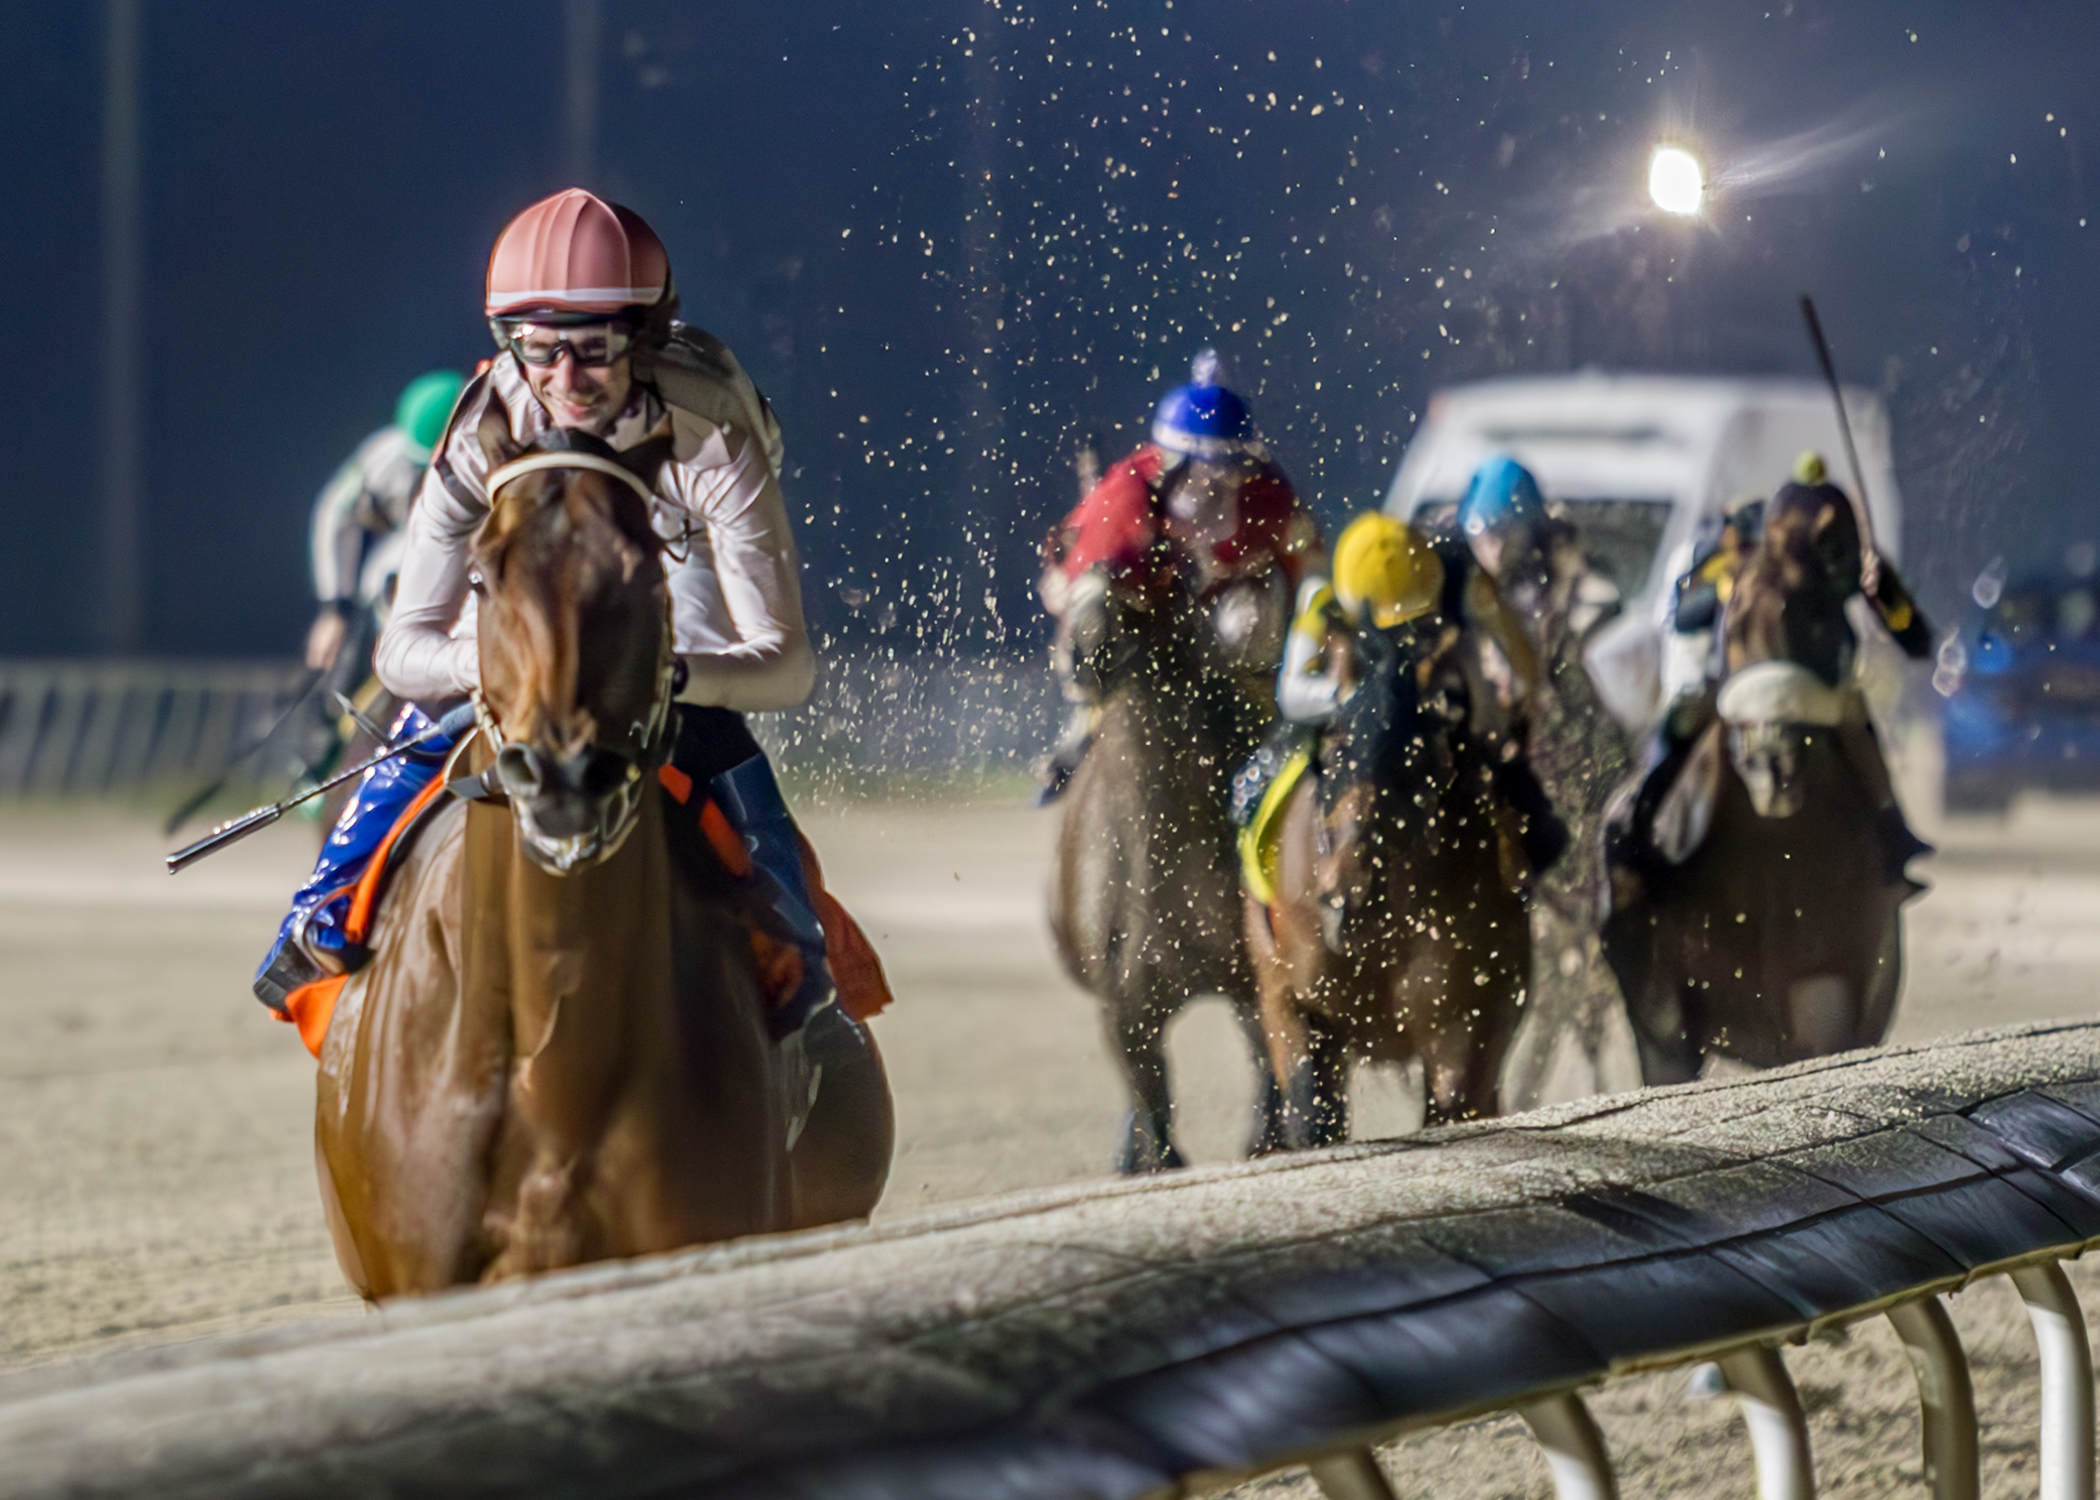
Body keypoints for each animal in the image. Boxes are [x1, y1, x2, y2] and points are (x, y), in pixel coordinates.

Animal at [1049, 575, 1286, 1172]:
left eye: (1147, 571)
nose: (1085, 646)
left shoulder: (1256, 979)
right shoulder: (1124, 1011)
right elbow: (1153, 1115)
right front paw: (1149, 1155)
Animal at [1245, 615, 1532, 1148]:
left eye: (1417, 761)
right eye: (1334, 746)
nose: (1348, 895)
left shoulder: (1471, 1015)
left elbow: (1456, 1100)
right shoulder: (1293, 1000)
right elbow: (1311, 1116)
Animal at [1600, 490, 1923, 1084]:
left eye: (1817, 621)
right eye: (1731, 626)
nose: (1772, 764)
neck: (1770, 857)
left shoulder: (1826, 990)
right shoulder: (1662, 1027)